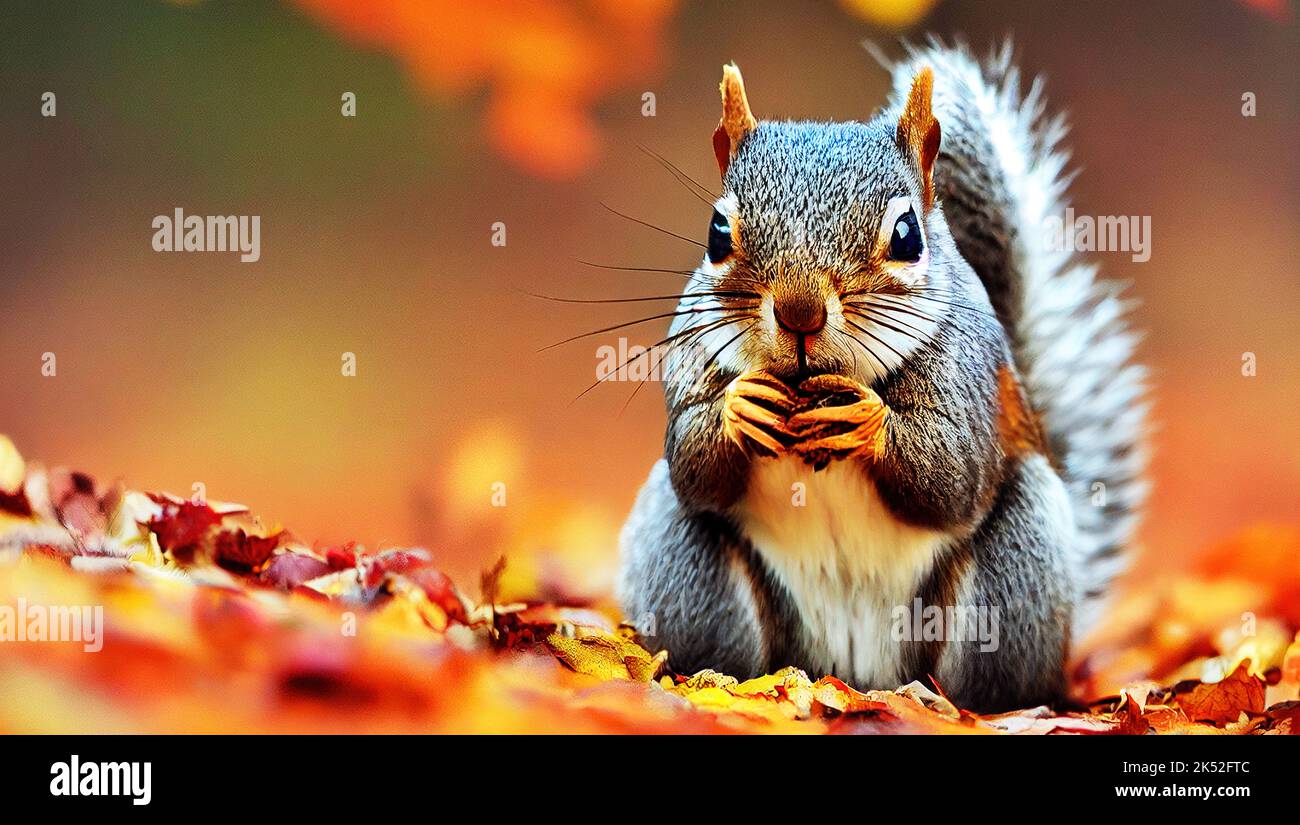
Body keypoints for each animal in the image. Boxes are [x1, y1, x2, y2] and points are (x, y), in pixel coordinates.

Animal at [617, 42, 1147, 712]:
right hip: (688, 564)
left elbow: (954, 473)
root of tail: (856, 674)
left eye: (906, 235)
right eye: (717, 233)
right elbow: (690, 458)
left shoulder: (969, 369)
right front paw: (740, 406)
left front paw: (865, 418)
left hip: (1017, 569)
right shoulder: (690, 353)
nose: (799, 312)